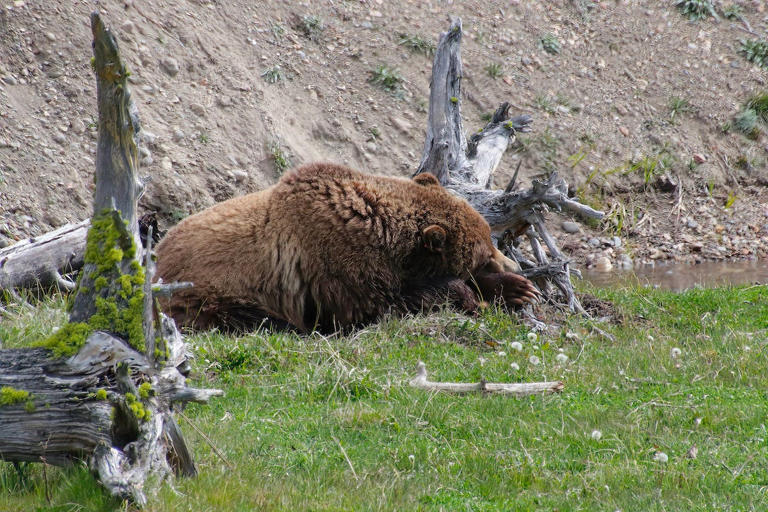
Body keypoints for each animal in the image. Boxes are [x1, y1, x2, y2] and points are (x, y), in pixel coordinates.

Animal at [155, 162, 538, 332]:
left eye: (490, 242)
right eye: (484, 255)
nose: (515, 265)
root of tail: (155, 256)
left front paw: (519, 290)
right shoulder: (336, 266)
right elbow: (378, 306)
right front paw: (470, 297)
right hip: (206, 294)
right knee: (251, 317)